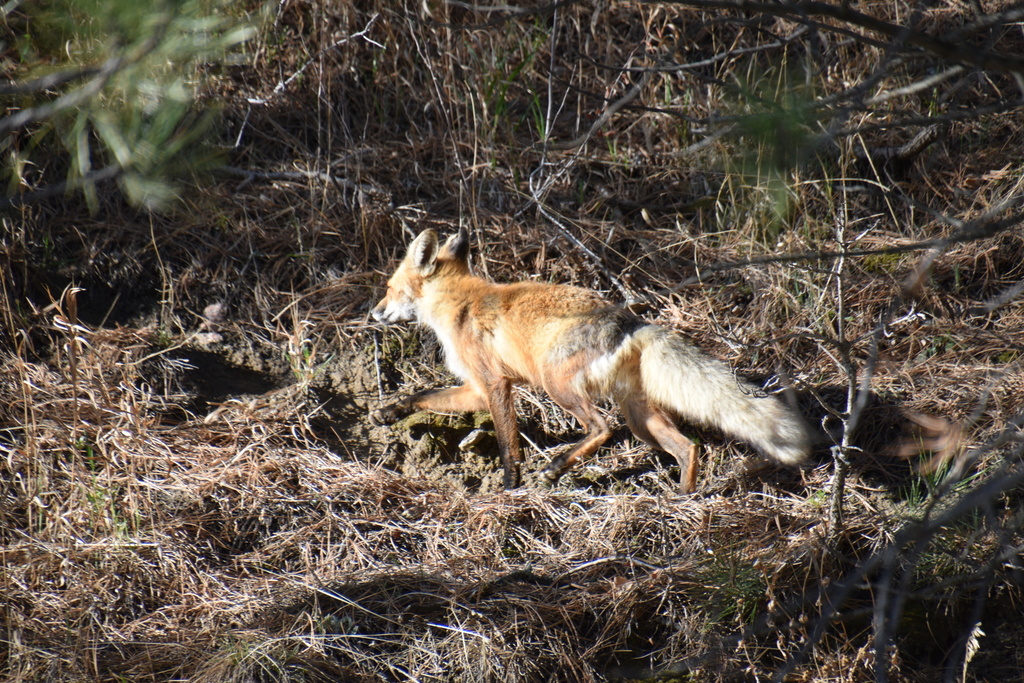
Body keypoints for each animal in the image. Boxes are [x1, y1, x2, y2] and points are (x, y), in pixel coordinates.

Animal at [370, 227, 811, 492]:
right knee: (688, 448)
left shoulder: (495, 384)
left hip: (558, 386)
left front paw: (510, 486)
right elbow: (424, 396)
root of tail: (632, 320)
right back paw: (684, 500)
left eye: (389, 288)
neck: (460, 303)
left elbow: (508, 444)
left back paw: (557, 467)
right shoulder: (477, 389)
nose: (374, 312)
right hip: (640, 415)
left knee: (601, 429)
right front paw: (390, 412)